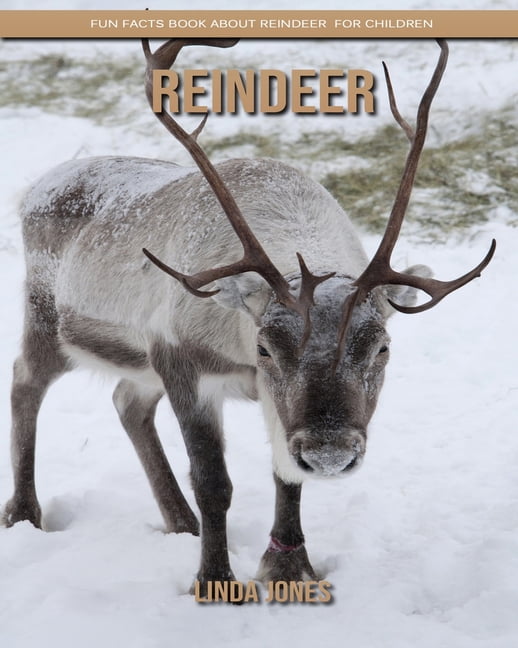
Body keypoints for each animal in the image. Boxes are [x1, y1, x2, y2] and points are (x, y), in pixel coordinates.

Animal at [3, 38, 495, 593]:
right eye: (265, 346)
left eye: (382, 345)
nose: (330, 454)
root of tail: (37, 186)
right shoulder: (187, 367)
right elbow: (214, 483)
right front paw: (215, 580)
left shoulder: (268, 398)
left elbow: (286, 472)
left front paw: (289, 569)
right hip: (49, 324)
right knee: (25, 381)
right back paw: (24, 513)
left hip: (140, 360)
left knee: (127, 400)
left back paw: (181, 523)